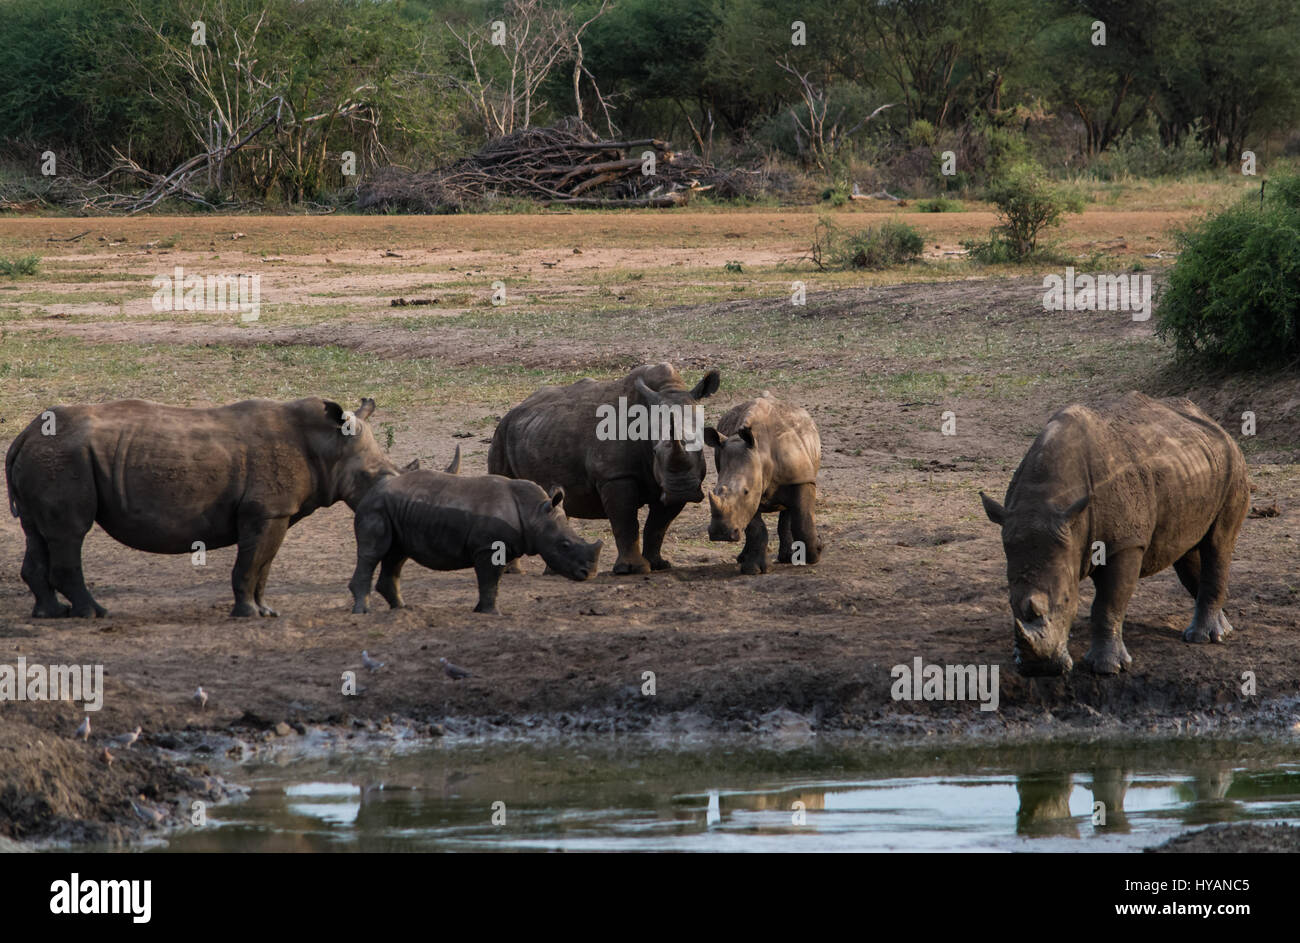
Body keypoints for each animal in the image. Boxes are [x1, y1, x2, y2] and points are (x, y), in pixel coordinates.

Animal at [5, 397, 398, 618]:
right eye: (371, 476)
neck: (326, 444)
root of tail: (24, 435)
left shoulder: (274, 514)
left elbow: (264, 566)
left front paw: (267, 611)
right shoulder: (266, 511)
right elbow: (251, 564)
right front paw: (248, 614)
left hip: (50, 455)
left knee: (38, 533)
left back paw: (51, 613)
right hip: (64, 457)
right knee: (71, 533)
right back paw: (94, 614)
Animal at [348, 458, 602, 615]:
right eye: (565, 545)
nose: (589, 574)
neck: (534, 513)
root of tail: (371, 491)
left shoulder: (500, 548)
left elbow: (491, 582)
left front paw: (481, 611)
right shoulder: (488, 547)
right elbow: (490, 581)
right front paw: (493, 613)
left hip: (395, 508)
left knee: (396, 555)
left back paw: (402, 609)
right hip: (377, 507)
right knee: (374, 553)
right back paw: (363, 611)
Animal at [488, 362, 720, 574]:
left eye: (701, 448)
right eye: (655, 452)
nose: (683, 489)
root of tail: (514, 410)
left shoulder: (672, 484)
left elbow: (657, 526)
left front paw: (658, 565)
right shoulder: (614, 475)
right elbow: (625, 522)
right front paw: (633, 570)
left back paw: (552, 573)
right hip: (500, 436)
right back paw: (512, 572)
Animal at [703, 393, 823, 574]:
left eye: (745, 491)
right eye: (715, 491)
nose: (720, 534)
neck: (761, 454)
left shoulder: (800, 478)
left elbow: (803, 520)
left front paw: (816, 553)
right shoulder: (752, 494)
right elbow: (755, 528)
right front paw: (754, 570)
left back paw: (788, 557)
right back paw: (744, 558)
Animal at [980, 392, 1249, 676]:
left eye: (1066, 599)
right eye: (1010, 602)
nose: (1039, 670)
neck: (1047, 502)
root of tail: (1214, 423)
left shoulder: (1126, 543)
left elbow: (1108, 603)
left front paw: (1107, 668)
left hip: (1234, 466)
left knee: (1218, 544)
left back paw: (1204, 638)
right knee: (1186, 552)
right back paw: (1221, 629)